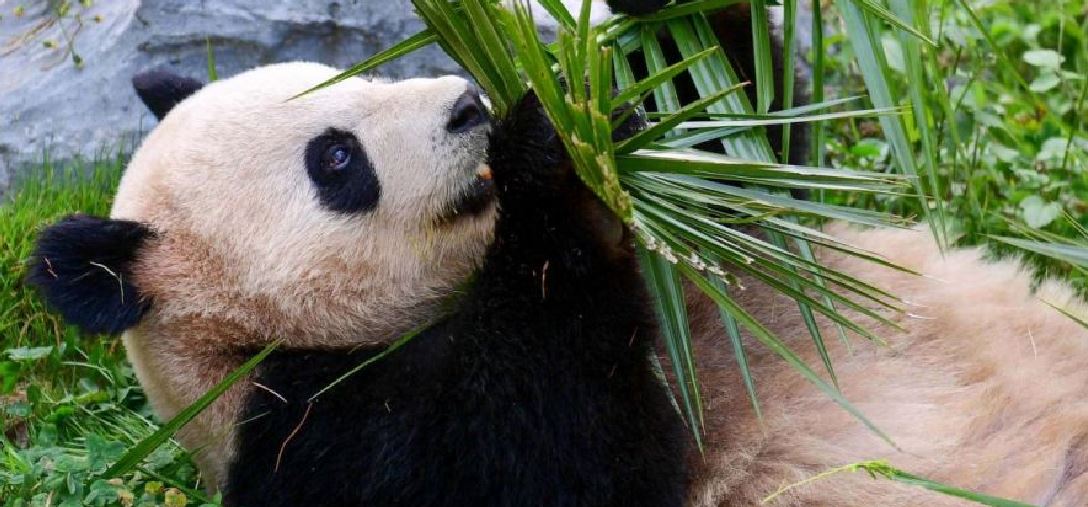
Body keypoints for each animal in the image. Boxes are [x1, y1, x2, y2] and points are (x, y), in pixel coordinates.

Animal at [25, 3, 1088, 507]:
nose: (468, 105)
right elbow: (556, 459)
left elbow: (744, 146)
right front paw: (550, 155)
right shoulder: (315, 429)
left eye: (352, 74)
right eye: (337, 159)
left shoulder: (723, 249)